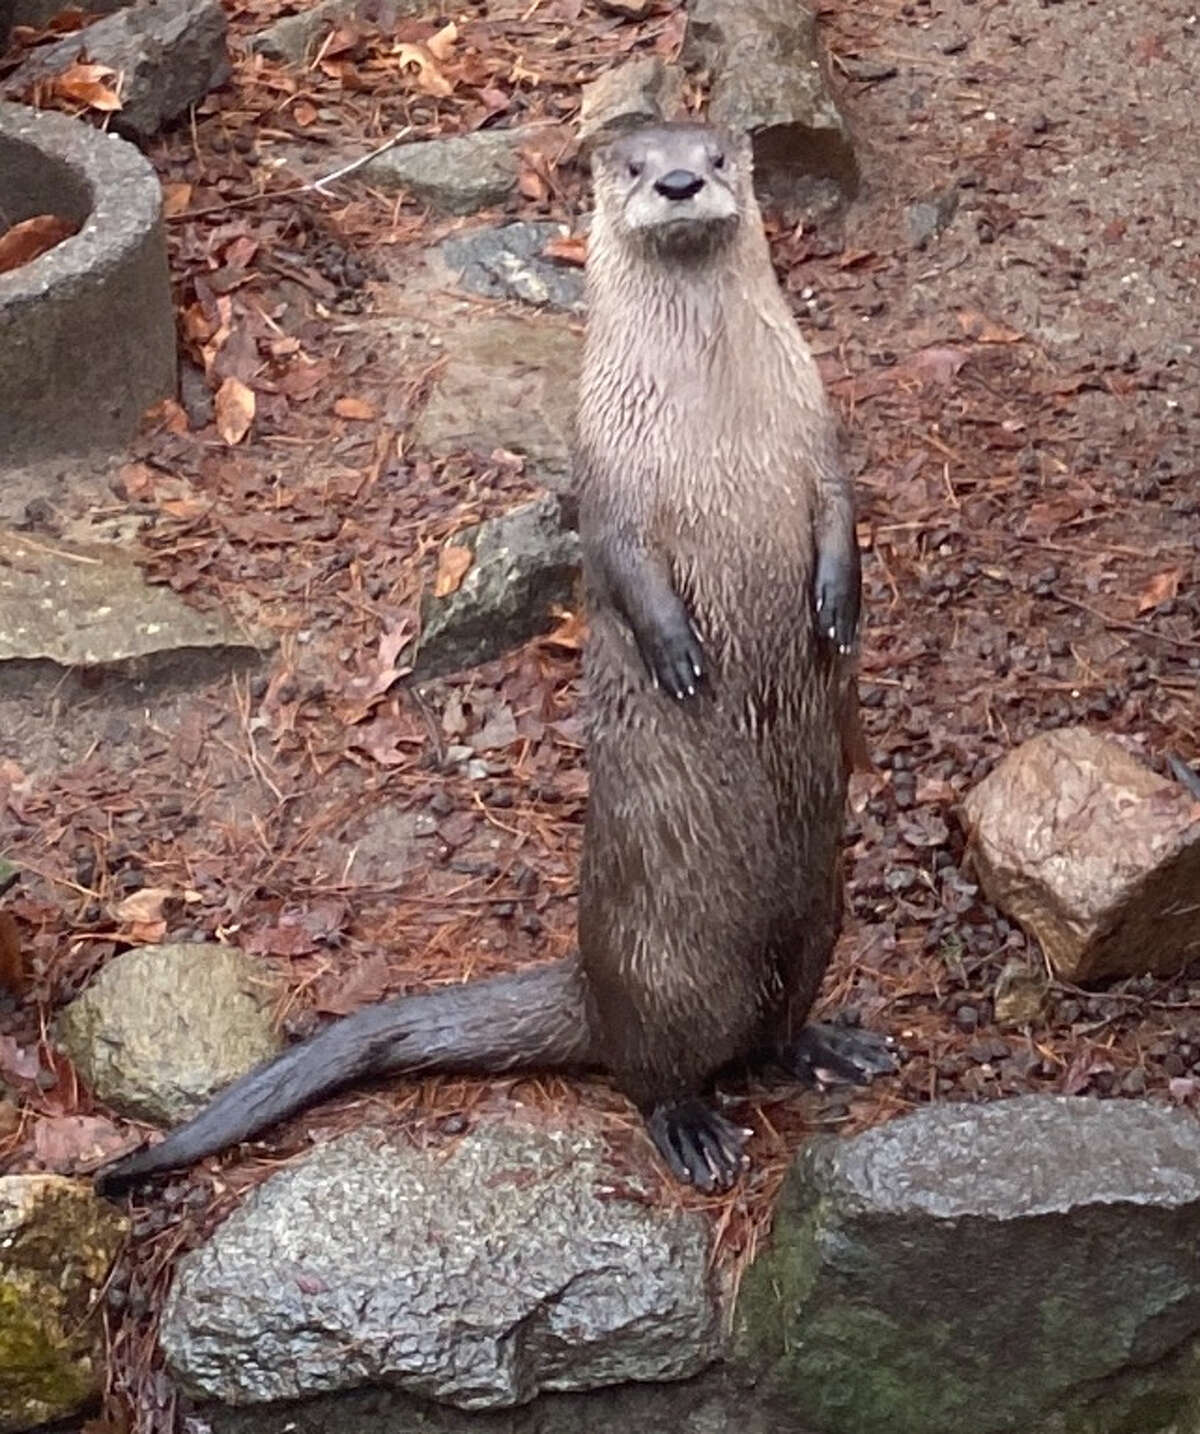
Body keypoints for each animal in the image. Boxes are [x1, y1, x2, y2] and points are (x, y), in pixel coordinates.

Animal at [95, 121, 891, 1201]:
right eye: (636, 166)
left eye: (718, 157)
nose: (682, 182)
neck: (713, 424)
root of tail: (590, 978)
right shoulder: (608, 470)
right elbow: (624, 560)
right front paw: (679, 656)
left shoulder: (819, 433)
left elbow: (844, 516)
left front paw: (837, 609)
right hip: (664, 968)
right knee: (651, 1069)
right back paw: (691, 1128)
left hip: (819, 914)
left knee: (779, 1022)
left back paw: (830, 1047)